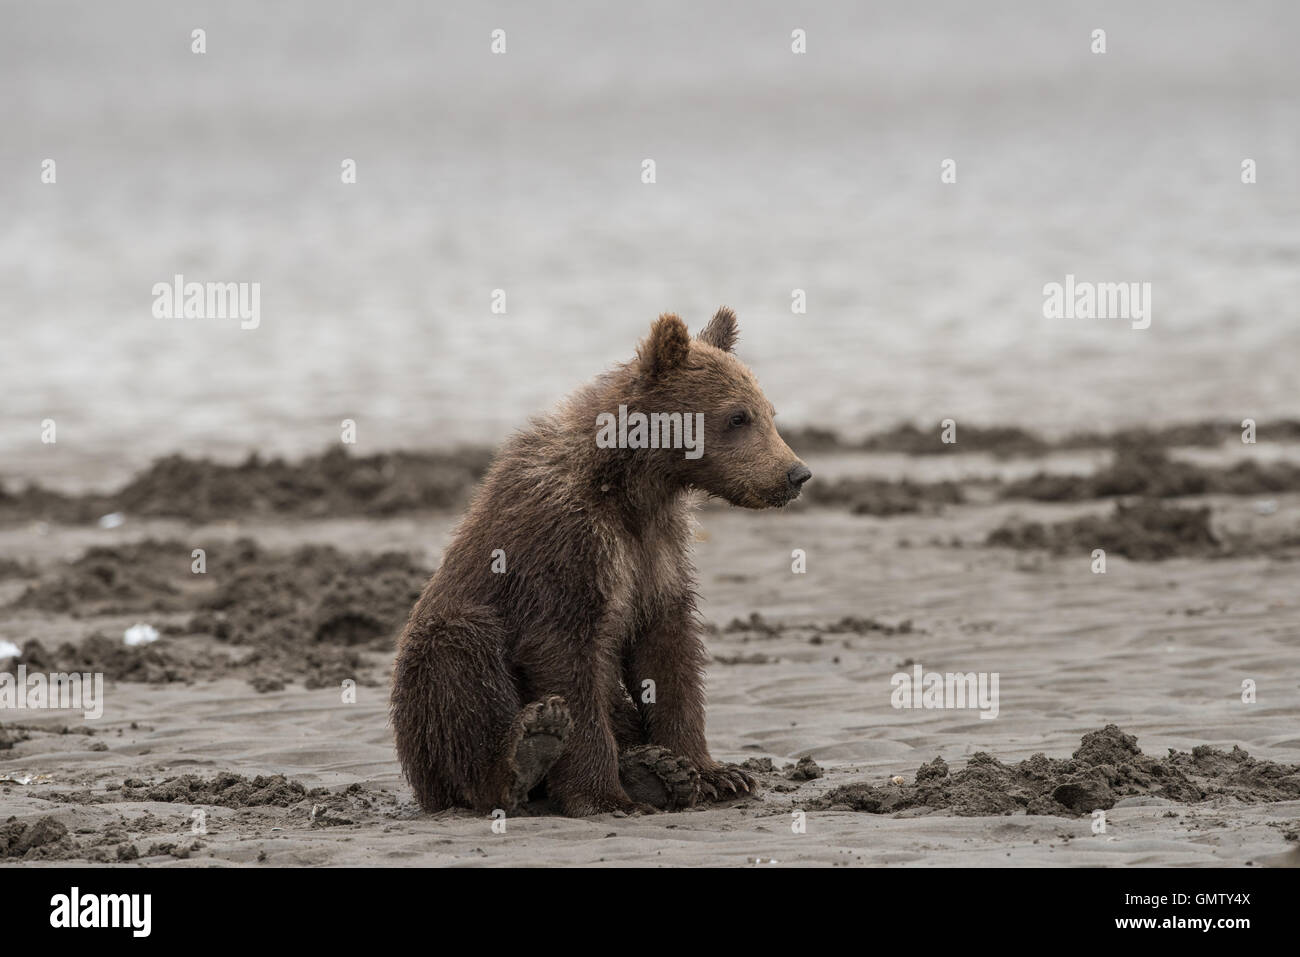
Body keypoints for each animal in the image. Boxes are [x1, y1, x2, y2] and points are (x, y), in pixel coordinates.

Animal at [390, 307, 812, 816]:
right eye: (737, 416)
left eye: (770, 412)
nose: (796, 474)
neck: (632, 489)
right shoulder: (566, 545)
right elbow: (565, 653)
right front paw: (603, 795)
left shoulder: (659, 552)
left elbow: (668, 653)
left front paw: (717, 773)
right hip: (429, 688)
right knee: (459, 656)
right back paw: (523, 756)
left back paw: (655, 771)